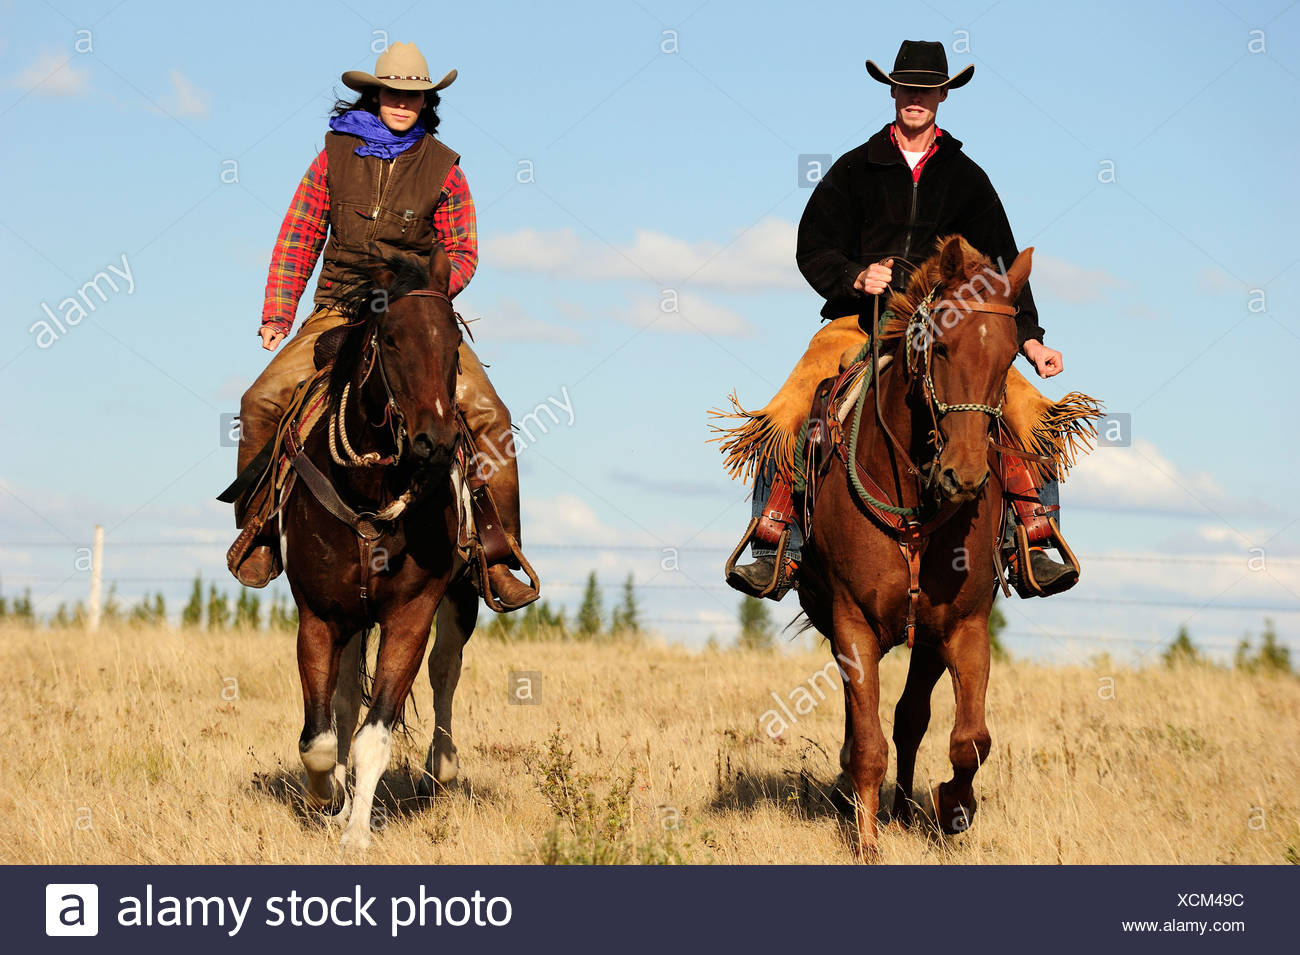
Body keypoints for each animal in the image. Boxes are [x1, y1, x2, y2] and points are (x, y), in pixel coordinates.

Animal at [279, 247, 478, 850]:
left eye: (454, 343)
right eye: (390, 339)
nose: (436, 444)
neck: (368, 492)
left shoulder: (410, 615)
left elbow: (376, 733)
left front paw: (357, 833)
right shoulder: (319, 615)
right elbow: (320, 737)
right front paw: (328, 800)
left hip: (459, 601)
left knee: (445, 668)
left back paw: (442, 767)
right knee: (344, 700)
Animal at [796, 235, 1033, 859]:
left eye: (1010, 357)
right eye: (941, 346)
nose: (964, 476)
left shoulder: (964, 626)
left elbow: (969, 739)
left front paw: (953, 808)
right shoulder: (852, 625)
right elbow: (868, 745)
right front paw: (867, 844)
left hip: (923, 641)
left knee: (909, 718)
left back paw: (905, 808)